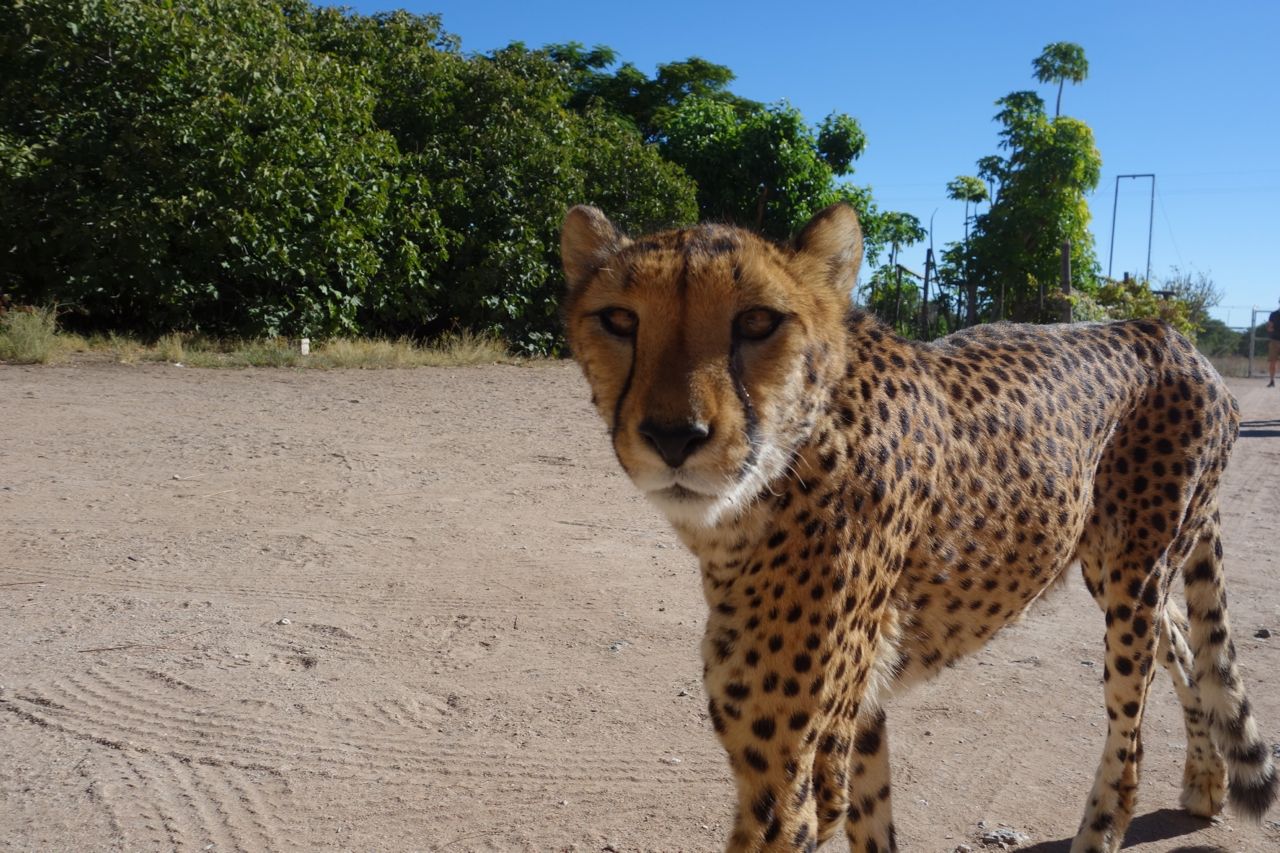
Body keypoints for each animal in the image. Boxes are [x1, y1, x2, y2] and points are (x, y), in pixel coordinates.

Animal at [559, 202, 1277, 852]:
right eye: (619, 319)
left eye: (758, 320)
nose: (674, 436)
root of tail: (1171, 333)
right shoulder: (854, 721)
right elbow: (871, 819)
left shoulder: (787, 783)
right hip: (1121, 569)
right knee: (1179, 635)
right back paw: (1206, 781)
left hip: (1133, 574)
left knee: (1131, 727)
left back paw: (1107, 824)